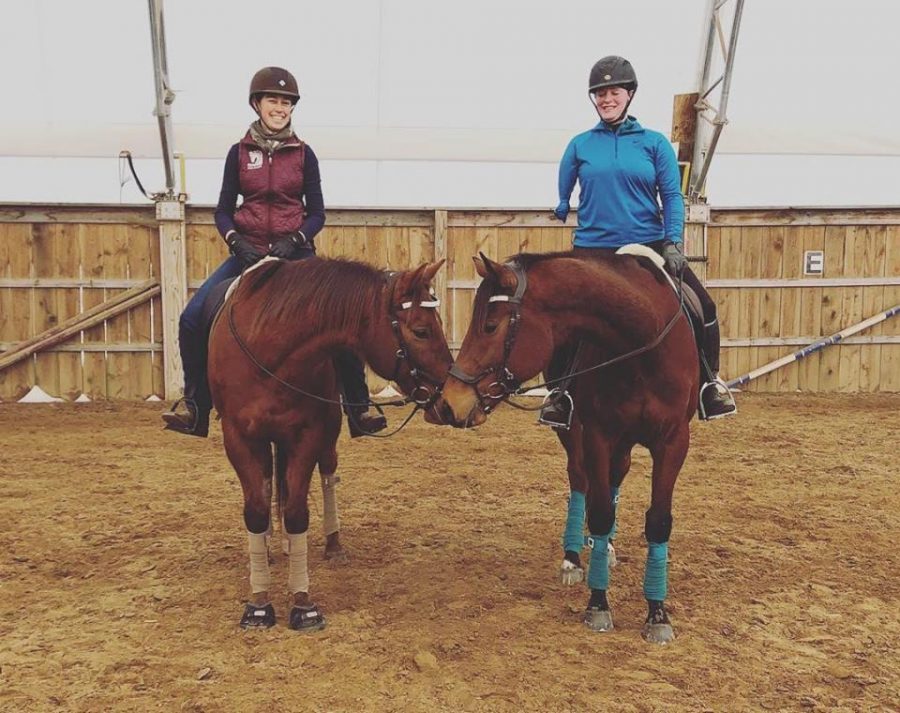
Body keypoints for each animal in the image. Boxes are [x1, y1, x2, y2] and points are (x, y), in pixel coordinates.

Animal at [207, 256, 452, 631]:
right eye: (421, 330)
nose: (451, 398)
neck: (269, 353)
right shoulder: (239, 439)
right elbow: (256, 510)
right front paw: (259, 604)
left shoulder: (307, 436)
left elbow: (297, 513)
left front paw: (302, 603)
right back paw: (269, 545)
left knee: (326, 476)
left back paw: (329, 543)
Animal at [434, 248, 698, 643]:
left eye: (491, 326)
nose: (451, 402)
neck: (641, 346)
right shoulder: (598, 433)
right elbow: (600, 511)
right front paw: (598, 604)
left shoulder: (673, 442)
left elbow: (658, 521)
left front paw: (657, 613)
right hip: (575, 430)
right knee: (580, 479)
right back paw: (574, 556)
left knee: (616, 477)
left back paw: (607, 548)